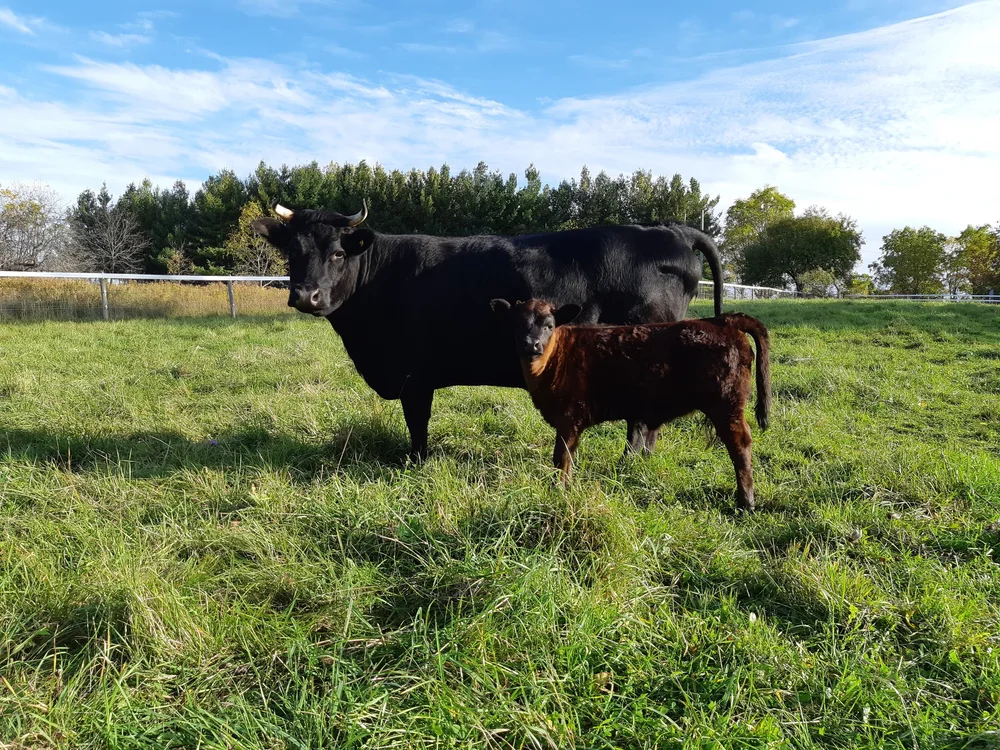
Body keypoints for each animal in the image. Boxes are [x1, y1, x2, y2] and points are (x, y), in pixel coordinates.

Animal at [251, 201, 725, 460]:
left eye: (336, 253)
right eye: (292, 251)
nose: (305, 296)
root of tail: (670, 230)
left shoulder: (414, 376)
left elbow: (417, 423)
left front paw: (416, 463)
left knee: (642, 419)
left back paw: (629, 461)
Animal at [490, 298, 771, 511]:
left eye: (549, 325)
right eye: (517, 325)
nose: (532, 344)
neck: (553, 361)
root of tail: (721, 321)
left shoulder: (569, 418)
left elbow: (562, 456)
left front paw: (559, 489)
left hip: (726, 405)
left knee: (740, 444)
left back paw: (746, 502)